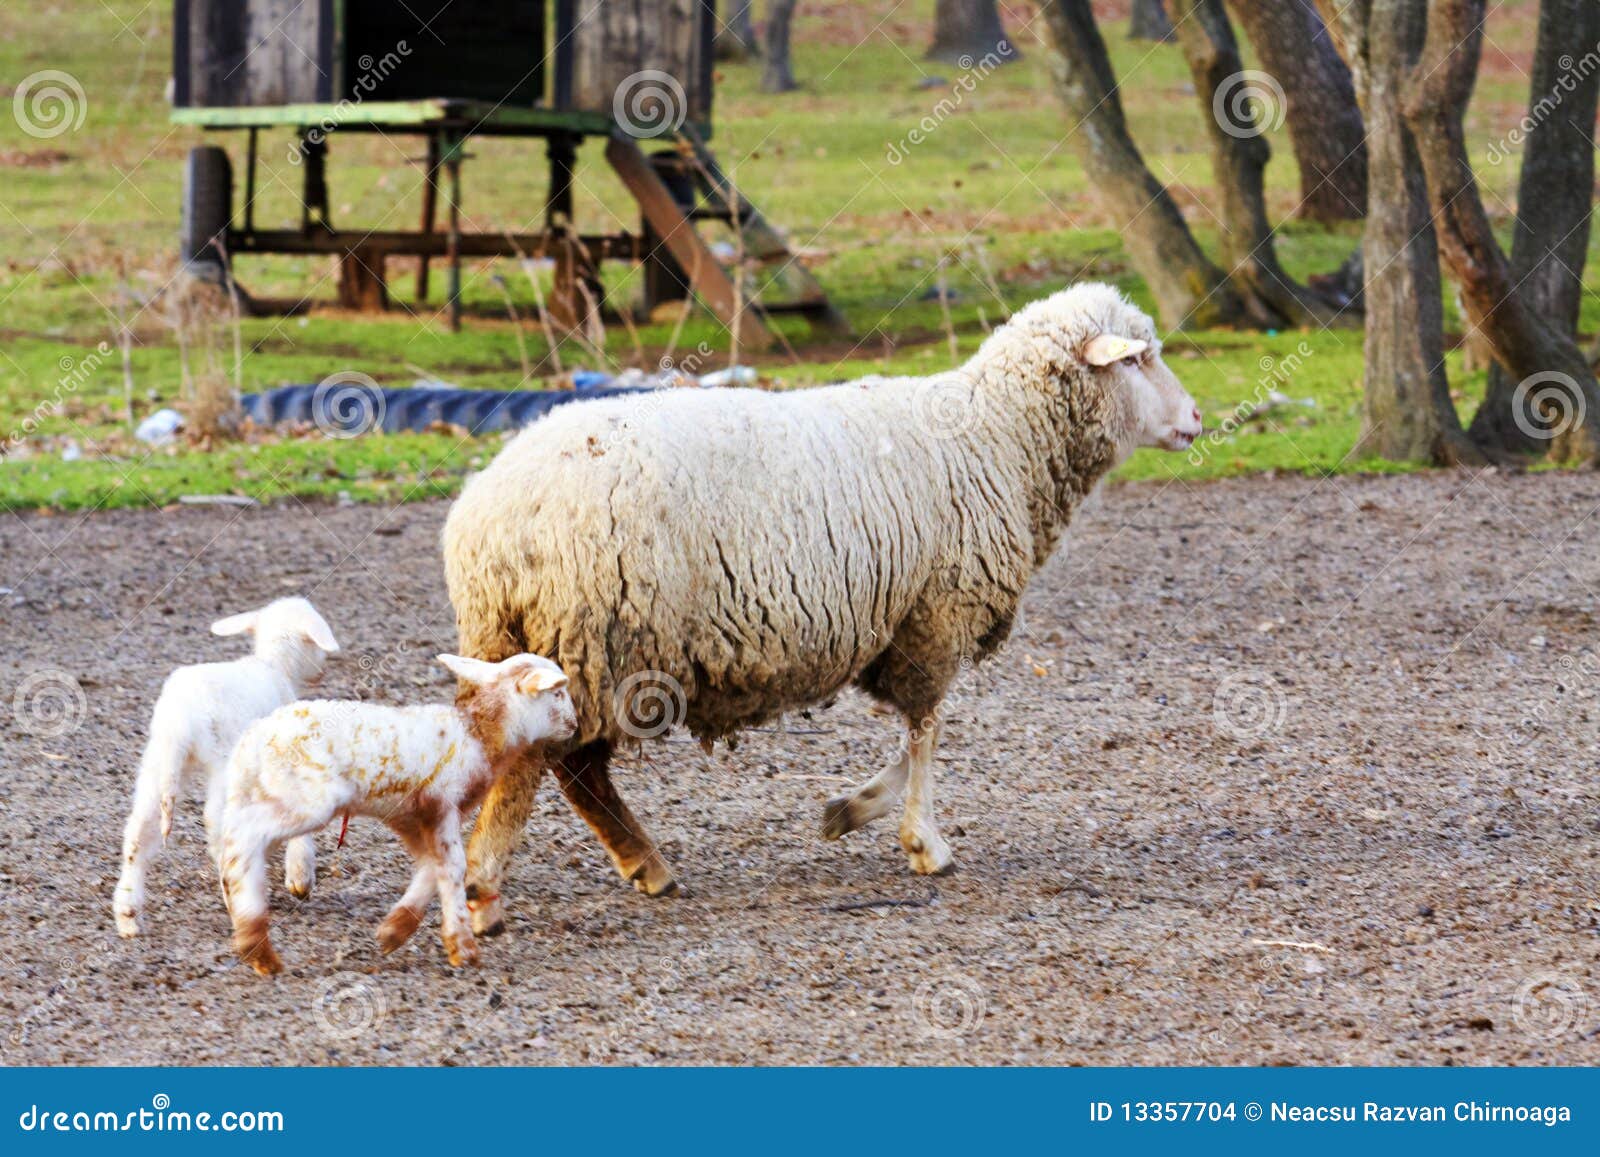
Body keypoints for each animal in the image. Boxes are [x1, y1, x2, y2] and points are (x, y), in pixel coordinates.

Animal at [112, 597, 340, 938]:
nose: (322, 670)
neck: (274, 666)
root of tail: (179, 722)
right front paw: (300, 876)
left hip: (156, 764)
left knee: (138, 833)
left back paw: (127, 914)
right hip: (221, 762)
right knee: (216, 825)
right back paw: (238, 898)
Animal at [216, 652, 576, 976]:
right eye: (558, 693)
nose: (574, 725)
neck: (480, 736)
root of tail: (253, 740)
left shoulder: (410, 816)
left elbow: (431, 866)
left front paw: (395, 931)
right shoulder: (441, 804)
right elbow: (453, 867)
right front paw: (463, 948)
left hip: (264, 794)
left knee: (234, 842)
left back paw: (242, 918)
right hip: (307, 800)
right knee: (244, 837)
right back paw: (257, 946)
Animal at [441, 282, 1202, 929]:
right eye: (1141, 358)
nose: (1196, 418)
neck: (1002, 438)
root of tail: (488, 521)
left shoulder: (897, 628)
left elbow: (913, 736)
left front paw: (849, 810)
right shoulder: (936, 613)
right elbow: (927, 731)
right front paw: (923, 841)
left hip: (538, 643)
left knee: (575, 770)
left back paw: (641, 864)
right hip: (594, 641)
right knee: (556, 766)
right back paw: (486, 889)